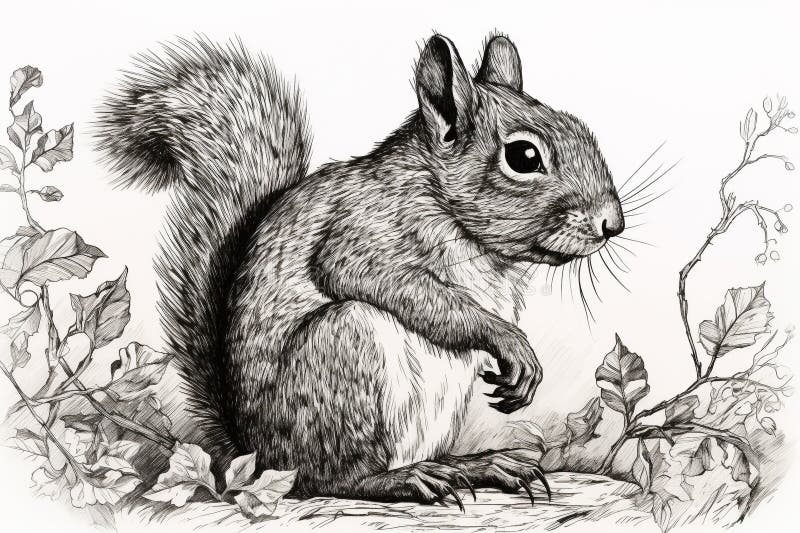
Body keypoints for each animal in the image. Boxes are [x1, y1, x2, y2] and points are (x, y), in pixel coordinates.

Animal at [95, 33, 623, 507]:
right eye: (523, 156)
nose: (612, 224)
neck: (439, 199)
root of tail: (256, 454)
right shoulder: (359, 235)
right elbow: (394, 285)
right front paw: (509, 343)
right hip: (346, 345)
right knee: (327, 479)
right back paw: (402, 480)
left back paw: (478, 465)